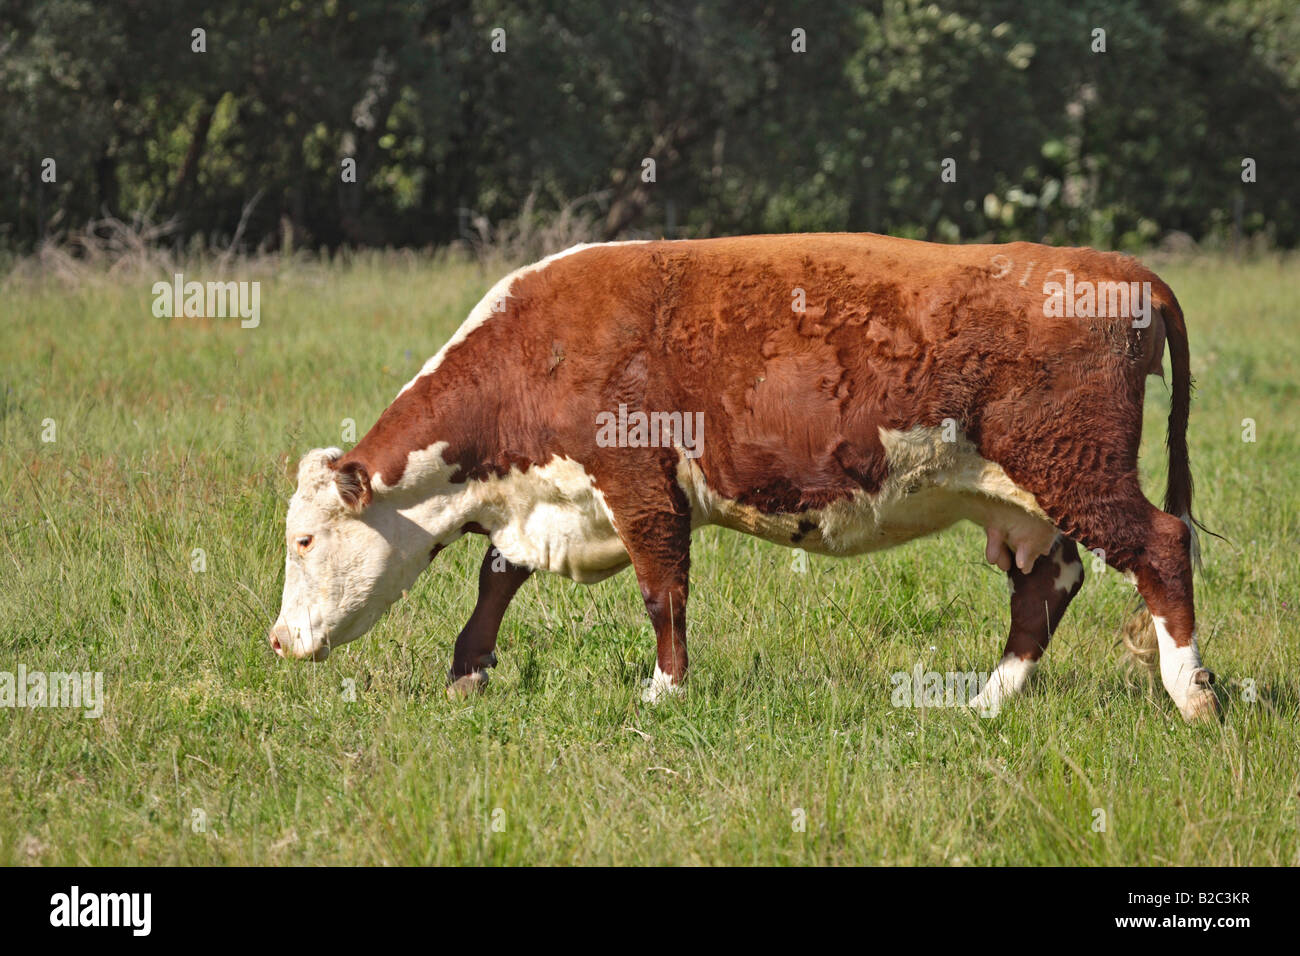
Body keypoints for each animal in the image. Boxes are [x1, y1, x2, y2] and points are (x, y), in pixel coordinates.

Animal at [269, 234, 1219, 721]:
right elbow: (496, 576)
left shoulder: (640, 486)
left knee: (1161, 548)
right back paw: (990, 697)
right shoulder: (549, 499)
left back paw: (1192, 694)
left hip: (1078, 471)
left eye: (304, 539)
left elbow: (662, 591)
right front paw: (468, 672)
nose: (277, 641)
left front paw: (664, 691)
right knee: (1047, 586)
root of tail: (1120, 269)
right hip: (1029, 497)